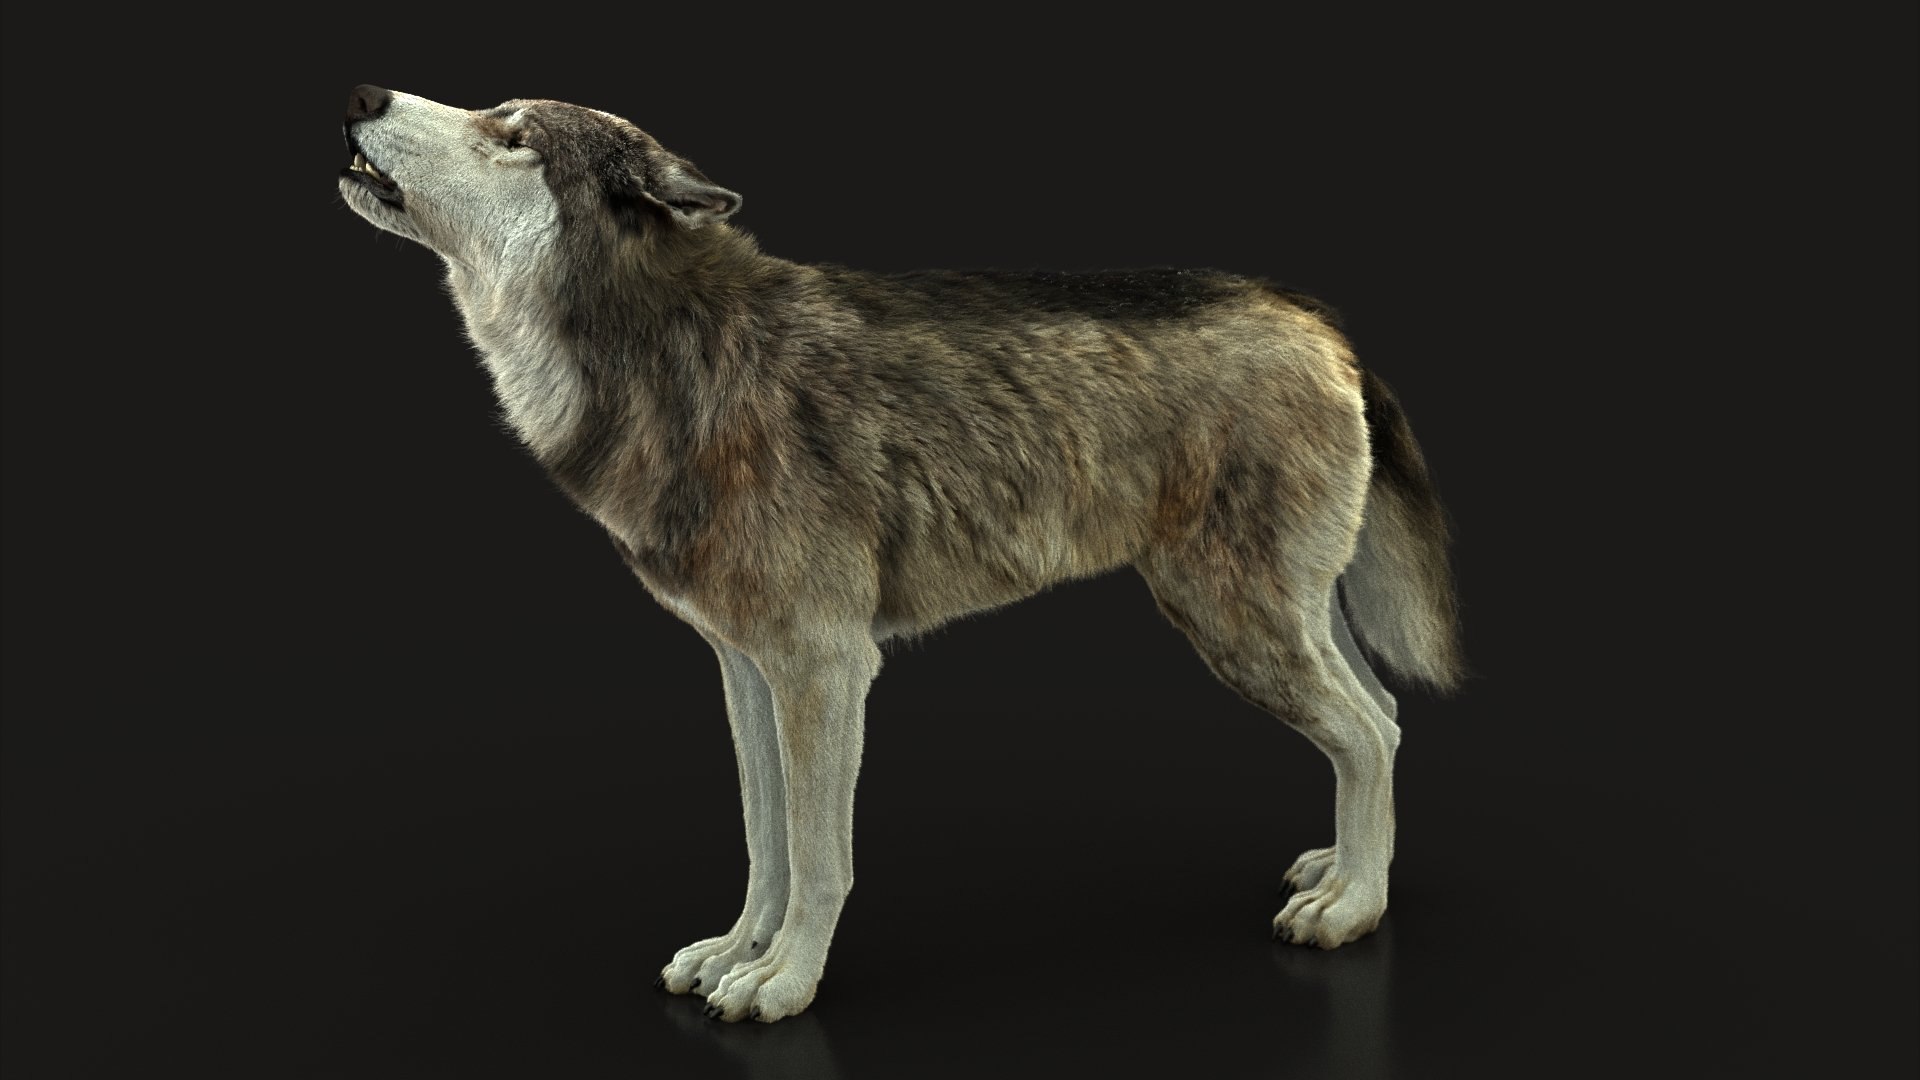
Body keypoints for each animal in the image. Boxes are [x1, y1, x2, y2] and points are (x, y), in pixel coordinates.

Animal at [337, 84, 1463, 1022]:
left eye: (510, 134)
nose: (361, 95)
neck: (673, 352)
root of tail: (1319, 322)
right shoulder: (746, 669)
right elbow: (766, 844)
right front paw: (737, 953)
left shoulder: (827, 668)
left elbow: (819, 858)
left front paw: (786, 983)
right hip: (1282, 618)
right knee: (1385, 715)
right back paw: (1341, 871)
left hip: (1233, 623)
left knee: (1368, 731)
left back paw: (1353, 908)